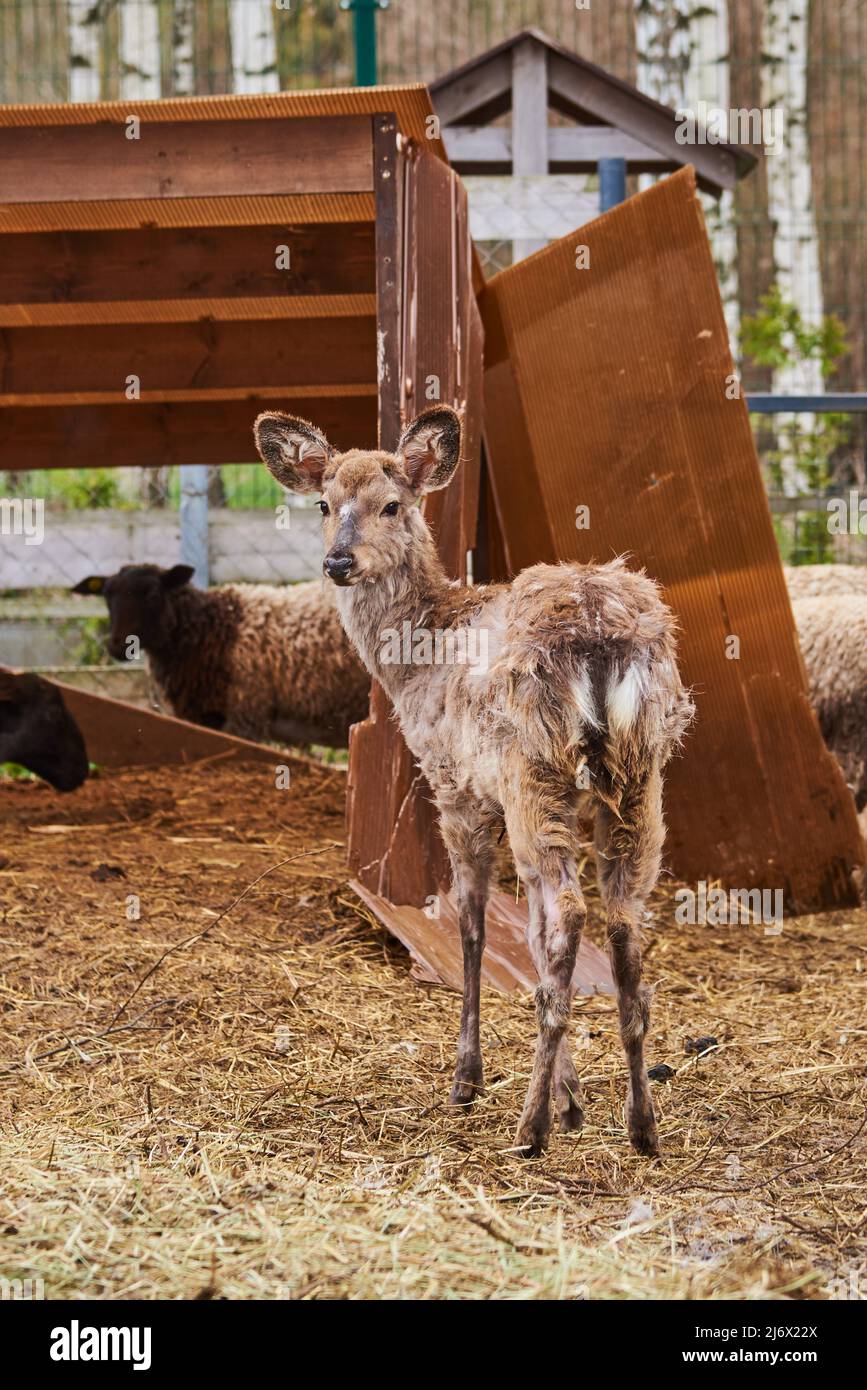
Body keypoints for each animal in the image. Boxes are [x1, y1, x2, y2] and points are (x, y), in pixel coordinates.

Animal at [71, 564, 371, 748]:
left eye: (154, 594)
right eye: (106, 595)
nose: (117, 646)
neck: (213, 627)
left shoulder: (245, 715)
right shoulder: (207, 716)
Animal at [254, 404, 694, 1158]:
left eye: (392, 504)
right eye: (324, 503)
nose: (338, 561)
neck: (414, 661)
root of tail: (599, 634)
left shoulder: (453, 783)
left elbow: (472, 923)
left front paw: (474, 1079)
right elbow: (532, 933)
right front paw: (575, 1099)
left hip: (533, 769)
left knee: (568, 912)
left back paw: (530, 1126)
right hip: (641, 776)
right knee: (622, 921)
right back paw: (641, 1125)